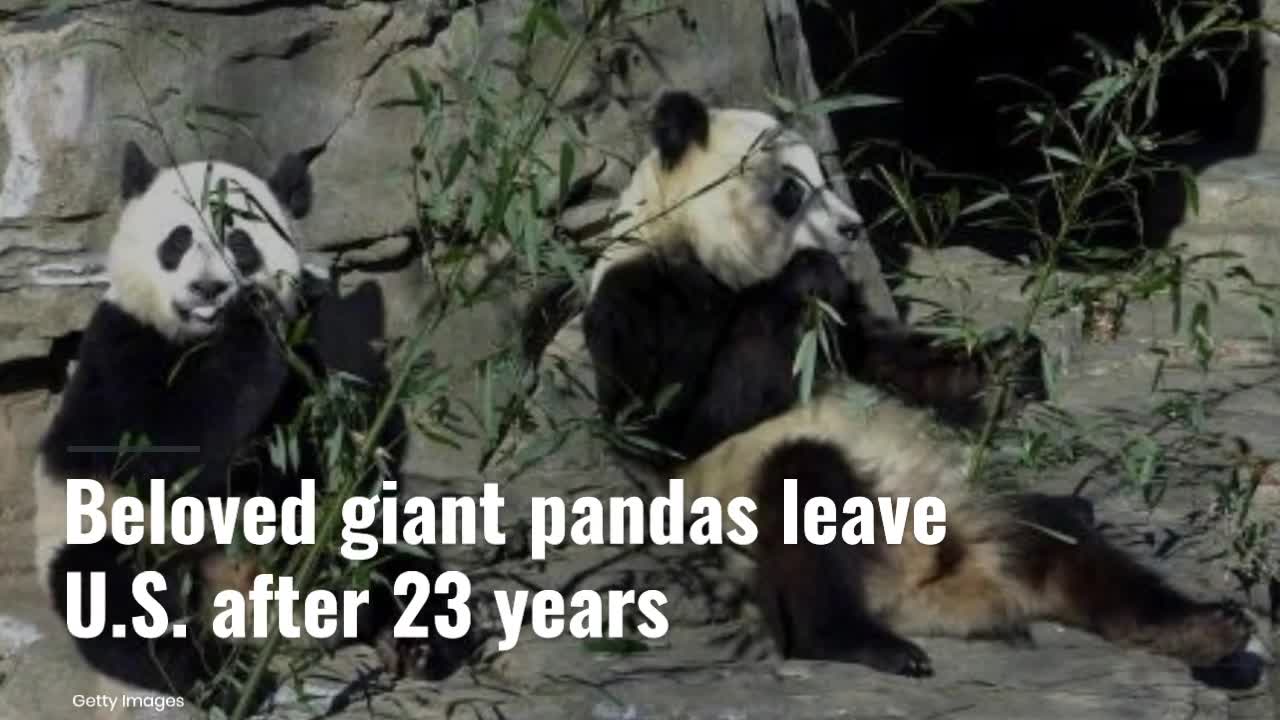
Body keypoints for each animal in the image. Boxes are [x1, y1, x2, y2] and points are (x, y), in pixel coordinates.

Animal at [32, 142, 472, 711]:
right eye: (178, 241)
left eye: (239, 242)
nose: (208, 288)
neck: (202, 338)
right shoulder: (120, 351)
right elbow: (163, 450)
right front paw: (248, 316)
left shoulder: (308, 368)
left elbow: (326, 454)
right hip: (115, 532)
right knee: (117, 598)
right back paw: (226, 677)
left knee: (392, 556)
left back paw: (420, 642)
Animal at [527, 90, 1261, 686]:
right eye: (792, 189)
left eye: (826, 175)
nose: (852, 227)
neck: (695, 243)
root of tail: (937, 586)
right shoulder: (643, 300)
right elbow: (679, 421)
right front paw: (808, 273)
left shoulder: (849, 326)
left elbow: (888, 359)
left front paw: (1013, 362)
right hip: (796, 511)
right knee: (806, 493)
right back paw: (862, 643)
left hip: (980, 511)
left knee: (1067, 542)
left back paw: (1207, 629)